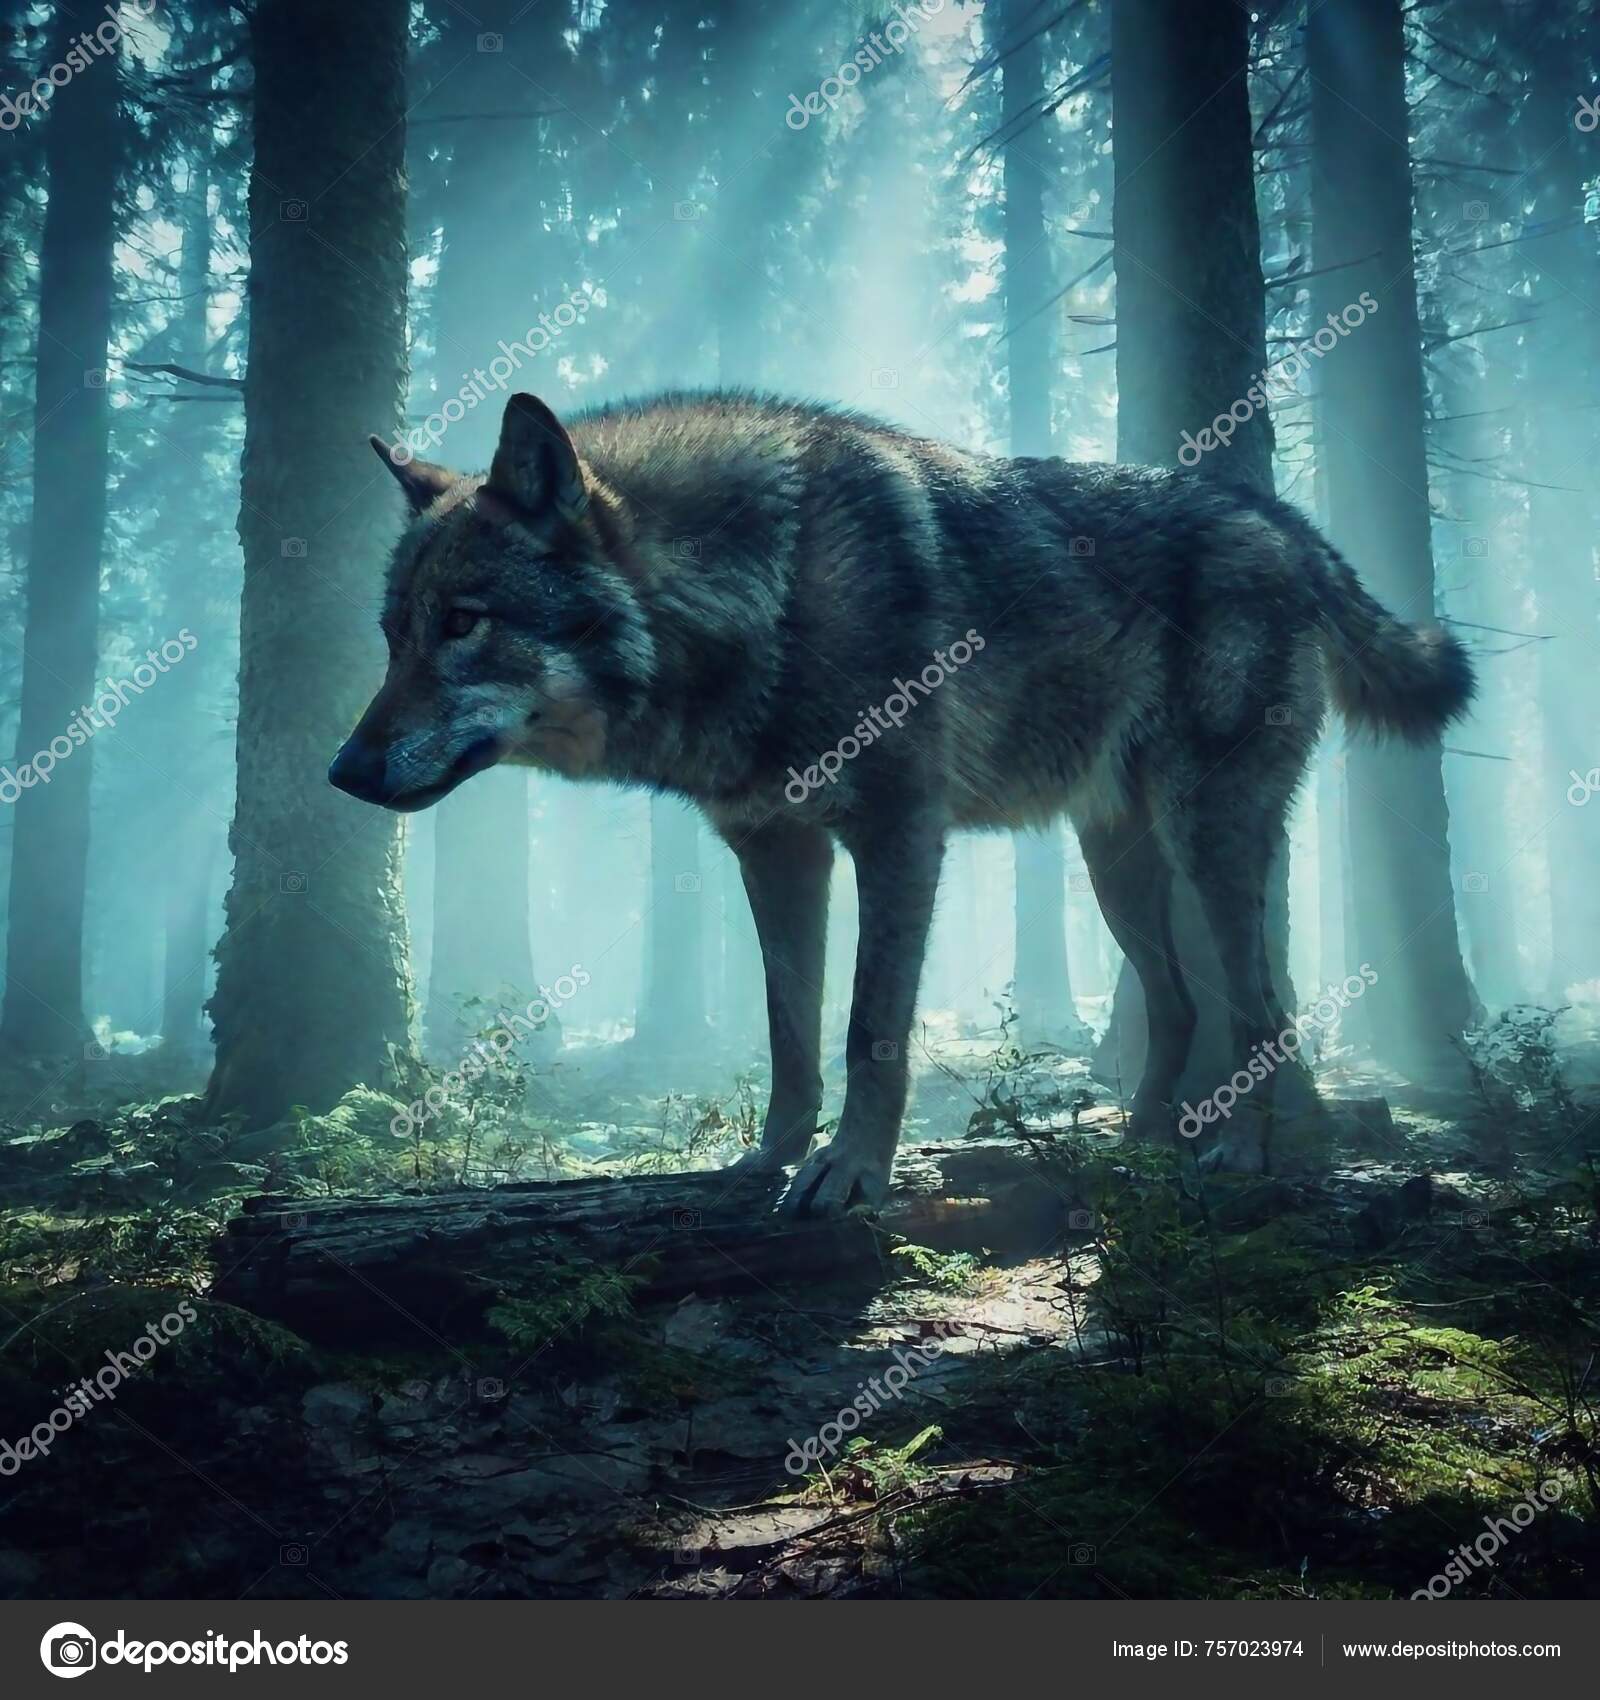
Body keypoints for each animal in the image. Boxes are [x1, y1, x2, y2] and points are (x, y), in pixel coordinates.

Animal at [332, 390, 1472, 1216]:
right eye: (391, 634)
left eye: (464, 621)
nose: (342, 771)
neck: (768, 592)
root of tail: (1279, 517)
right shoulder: (776, 852)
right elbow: (789, 1030)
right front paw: (766, 1163)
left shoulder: (898, 835)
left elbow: (868, 1029)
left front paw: (849, 1176)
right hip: (1115, 861)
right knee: (1179, 1004)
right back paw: (1138, 1145)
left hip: (1210, 839)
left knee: (1261, 1008)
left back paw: (1235, 1153)